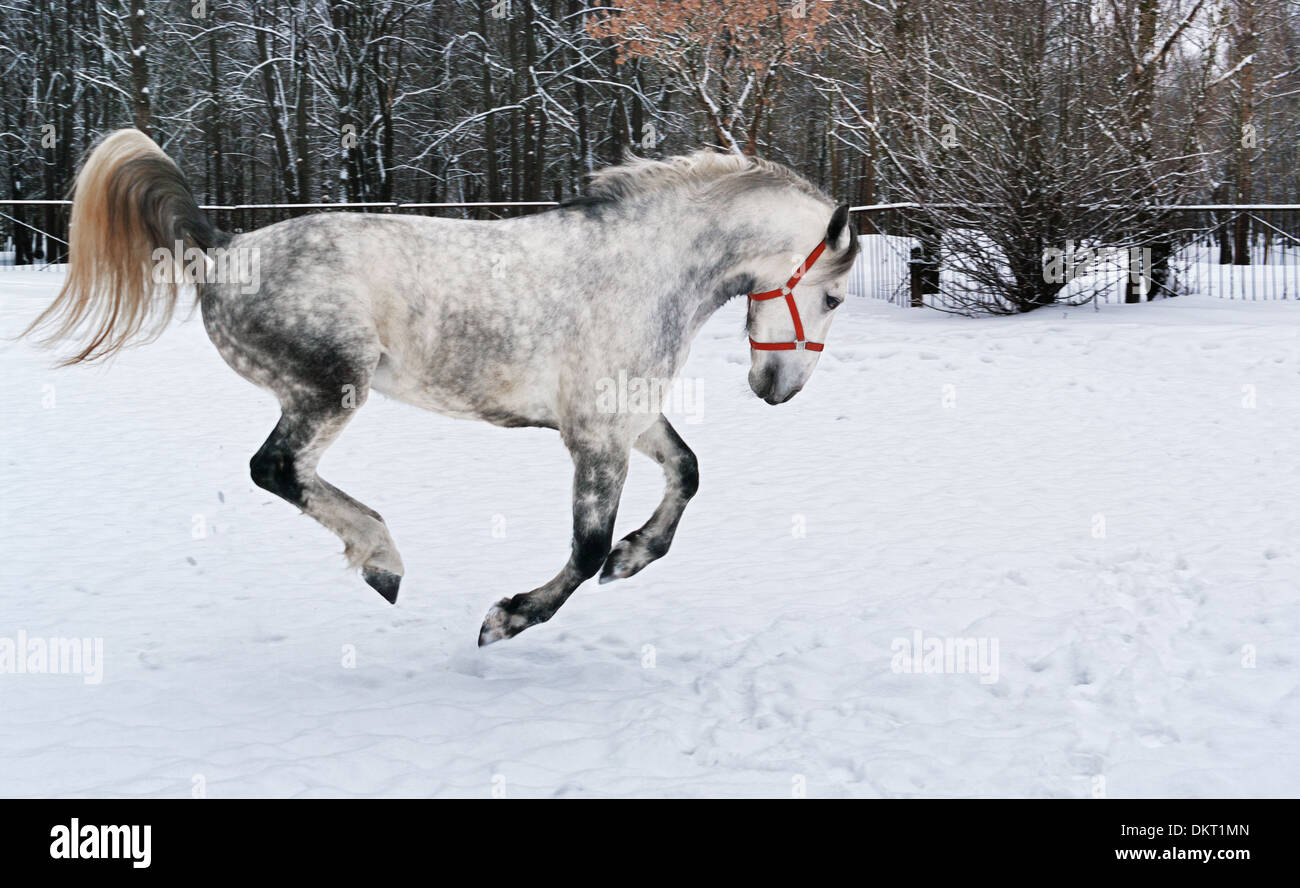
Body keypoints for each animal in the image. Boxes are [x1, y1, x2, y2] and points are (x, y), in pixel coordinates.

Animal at [25, 129, 860, 645]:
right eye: (834, 297)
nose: (777, 389)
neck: (642, 268)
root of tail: (222, 248)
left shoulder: (626, 418)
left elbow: (686, 474)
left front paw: (635, 557)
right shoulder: (593, 436)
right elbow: (585, 549)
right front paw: (508, 619)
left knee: (282, 472)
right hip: (333, 386)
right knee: (275, 469)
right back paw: (382, 559)